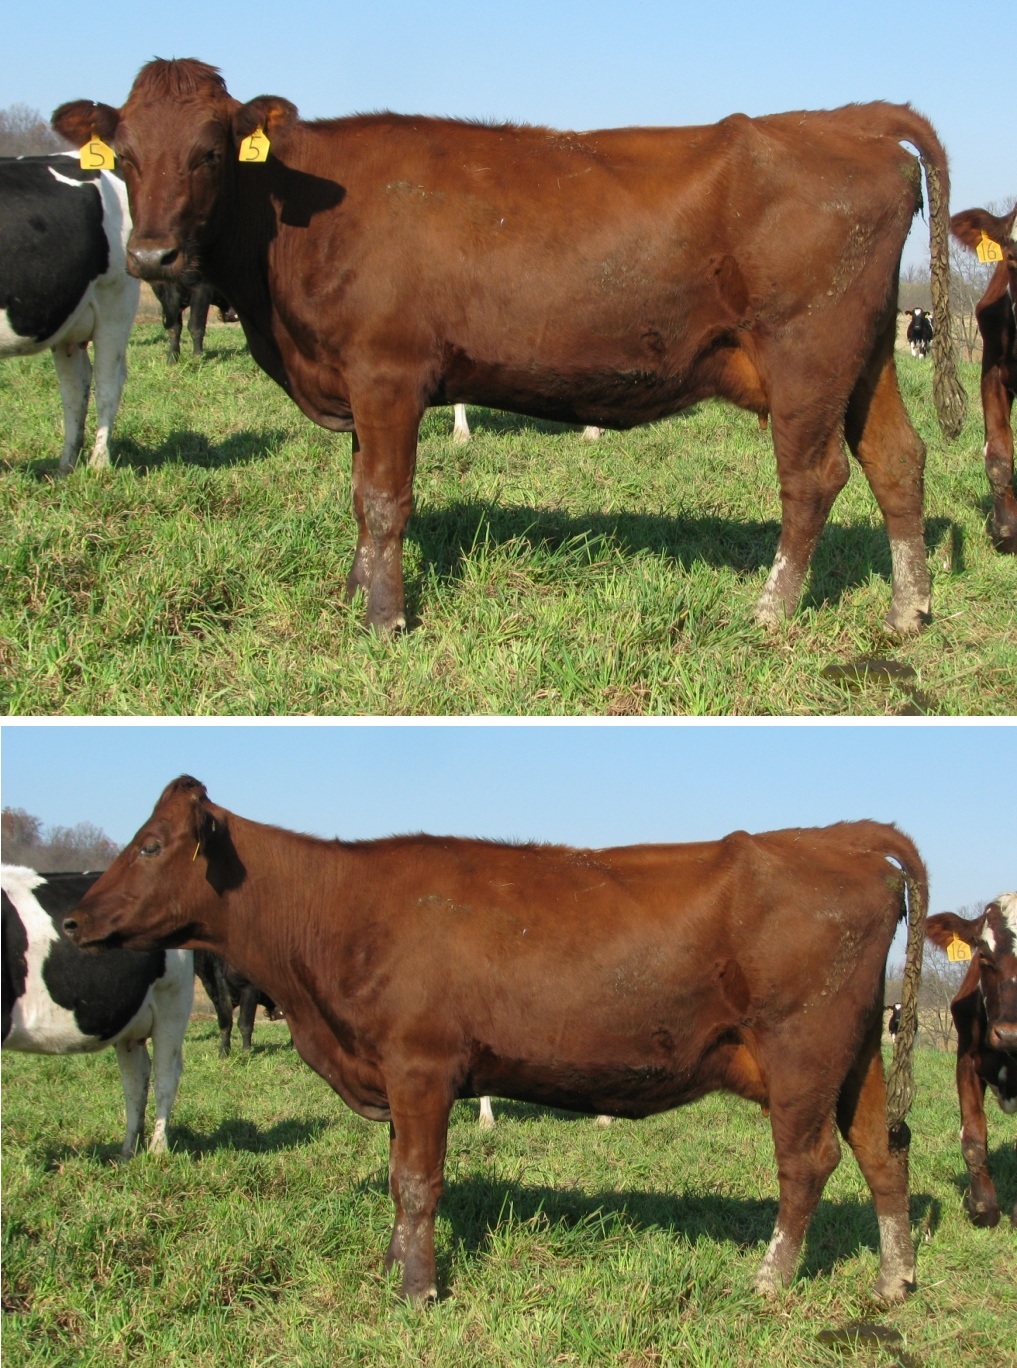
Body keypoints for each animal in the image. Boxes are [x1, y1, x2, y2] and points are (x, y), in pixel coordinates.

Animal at [0, 153, 139, 472]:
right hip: (70, 320)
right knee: (75, 387)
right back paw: (66, 465)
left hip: (115, 300)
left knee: (107, 381)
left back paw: (99, 463)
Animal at [1, 865, 192, 1158]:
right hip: (130, 1022)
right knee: (135, 1079)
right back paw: (128, 1152)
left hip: (172, 1004)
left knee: (165, 1076)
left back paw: (157, 1150)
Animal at [51, 60, 966, 637]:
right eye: (125, 155)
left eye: (210, 152)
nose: (152, 255)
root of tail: (846, 121)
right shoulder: (354, 382)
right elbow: (360, 496)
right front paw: (354, 598)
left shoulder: (386, 374)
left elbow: (383, 500)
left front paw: (383, 620)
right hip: (863, 357)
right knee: (896, 460)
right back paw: (907, 611)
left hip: (805, 355)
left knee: (812, 478)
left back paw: (770, 612)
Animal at [62, 776, 928, 1305]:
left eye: (150, 844)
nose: (73, 921)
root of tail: (840, 836)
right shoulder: (399, 1076)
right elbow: (398, 1180)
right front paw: (391, 1268)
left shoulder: (419, 1068)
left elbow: (417, 1183)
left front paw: (417, 1291)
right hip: (854, 1055)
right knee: (881, 1152)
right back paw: (893, 1281)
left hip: (801, 1052)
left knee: (806, 1162)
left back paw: (769, 1280)